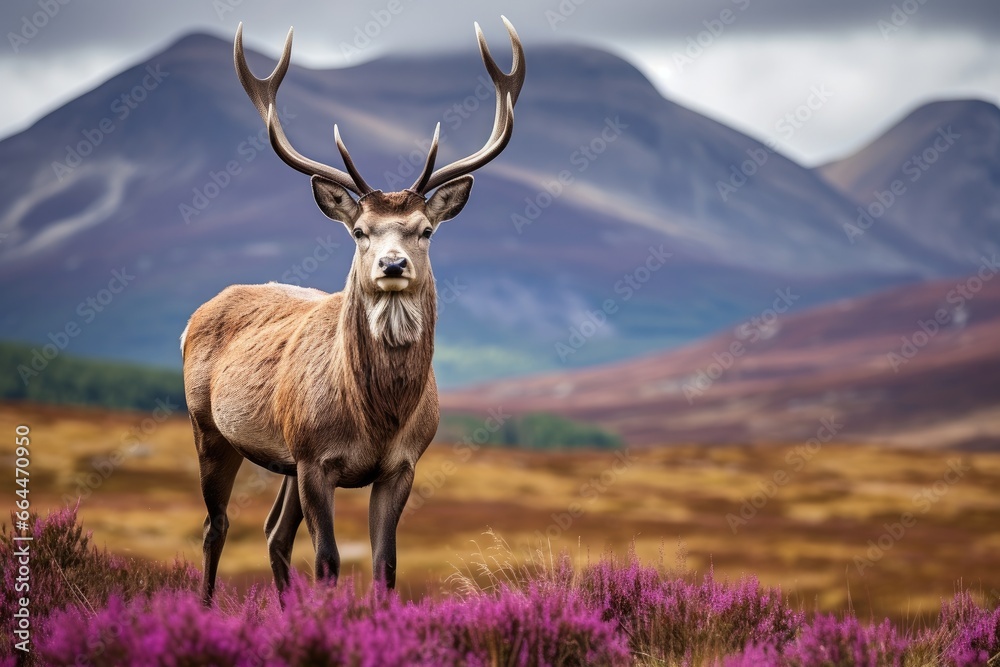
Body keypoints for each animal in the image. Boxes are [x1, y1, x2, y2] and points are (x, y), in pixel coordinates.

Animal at [181, 18, 524, 605]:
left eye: (425, 230)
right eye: (360, 231)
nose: (392, 263)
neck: (378, 416)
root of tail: (194, 318)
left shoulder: (401, 465)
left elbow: (386, 563)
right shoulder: (315, 459)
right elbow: (327, 560)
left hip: (283, 458)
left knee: (273, 533)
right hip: (210, 426)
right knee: (215, 525)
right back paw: (201, 609)